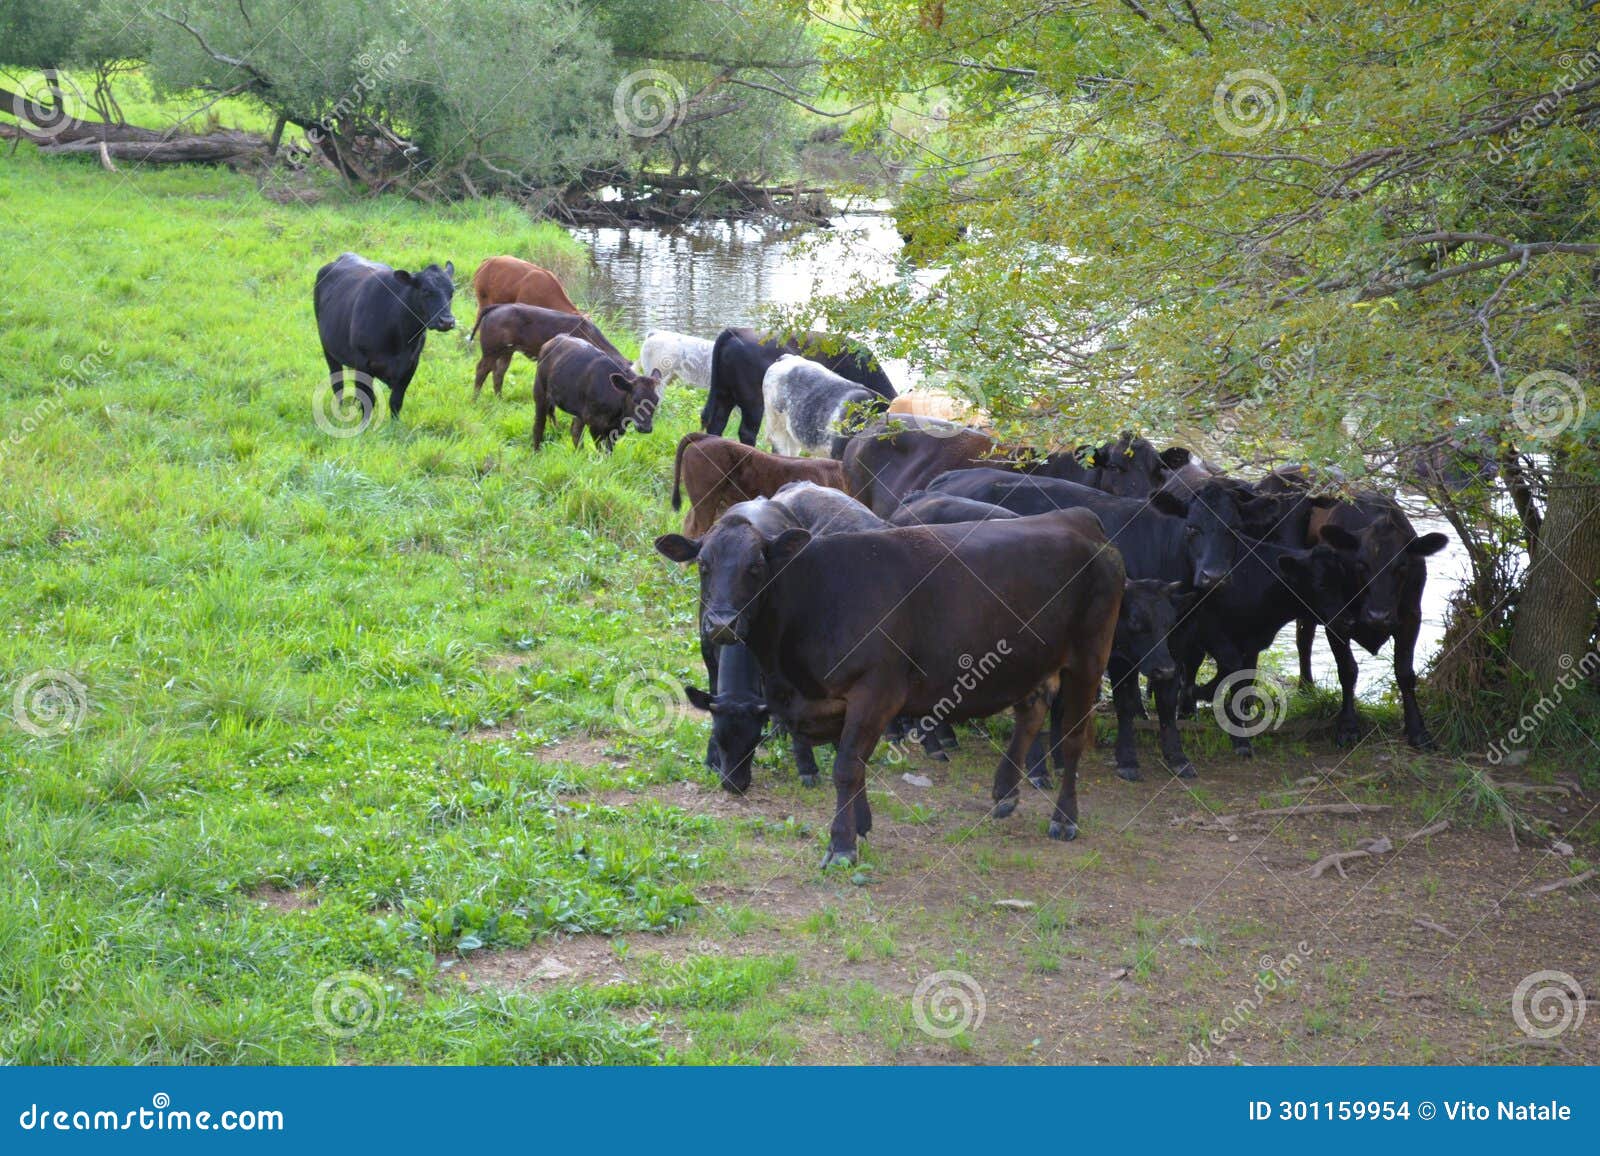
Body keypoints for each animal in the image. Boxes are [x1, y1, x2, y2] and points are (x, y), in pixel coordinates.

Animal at [313, 252, 456, 420]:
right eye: (426, 291)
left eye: (452, 292)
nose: (447, 321)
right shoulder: (362, 362)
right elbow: (368, 399)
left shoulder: (411, 364)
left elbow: (396, 401)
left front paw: (395, 424)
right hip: (327, 348)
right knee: (337, 382)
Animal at [472, 304, 622, 400]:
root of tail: (496, 308)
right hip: (491, 353)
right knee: (482, 370)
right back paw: (475, 399)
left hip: (506, 353)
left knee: (498, 374)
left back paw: (499, 398)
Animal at [531, 335, 661, 453]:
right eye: (635, 399)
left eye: (656, 401)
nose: (646, 428)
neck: (618, 414)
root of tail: (551, 341)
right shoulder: (595, 424)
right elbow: (601, 450)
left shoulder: (615, 429)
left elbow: (608, 450)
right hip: (540, 392)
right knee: (539, 425)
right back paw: (536, 452)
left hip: (580, 411)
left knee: (575, 430)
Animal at [657, 508, 1124, 864]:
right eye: (703, 566)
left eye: (756, 567)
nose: (721, 624)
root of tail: (1077, 518)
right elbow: (855, 763)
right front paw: (861, 825)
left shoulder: (877, 691)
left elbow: (846, 767)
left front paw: (842, 845)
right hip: (1033, 660)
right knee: (1032, 711)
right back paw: (1005, 793)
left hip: (1089, 656)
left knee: (1073, 738)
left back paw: (1064, 818)